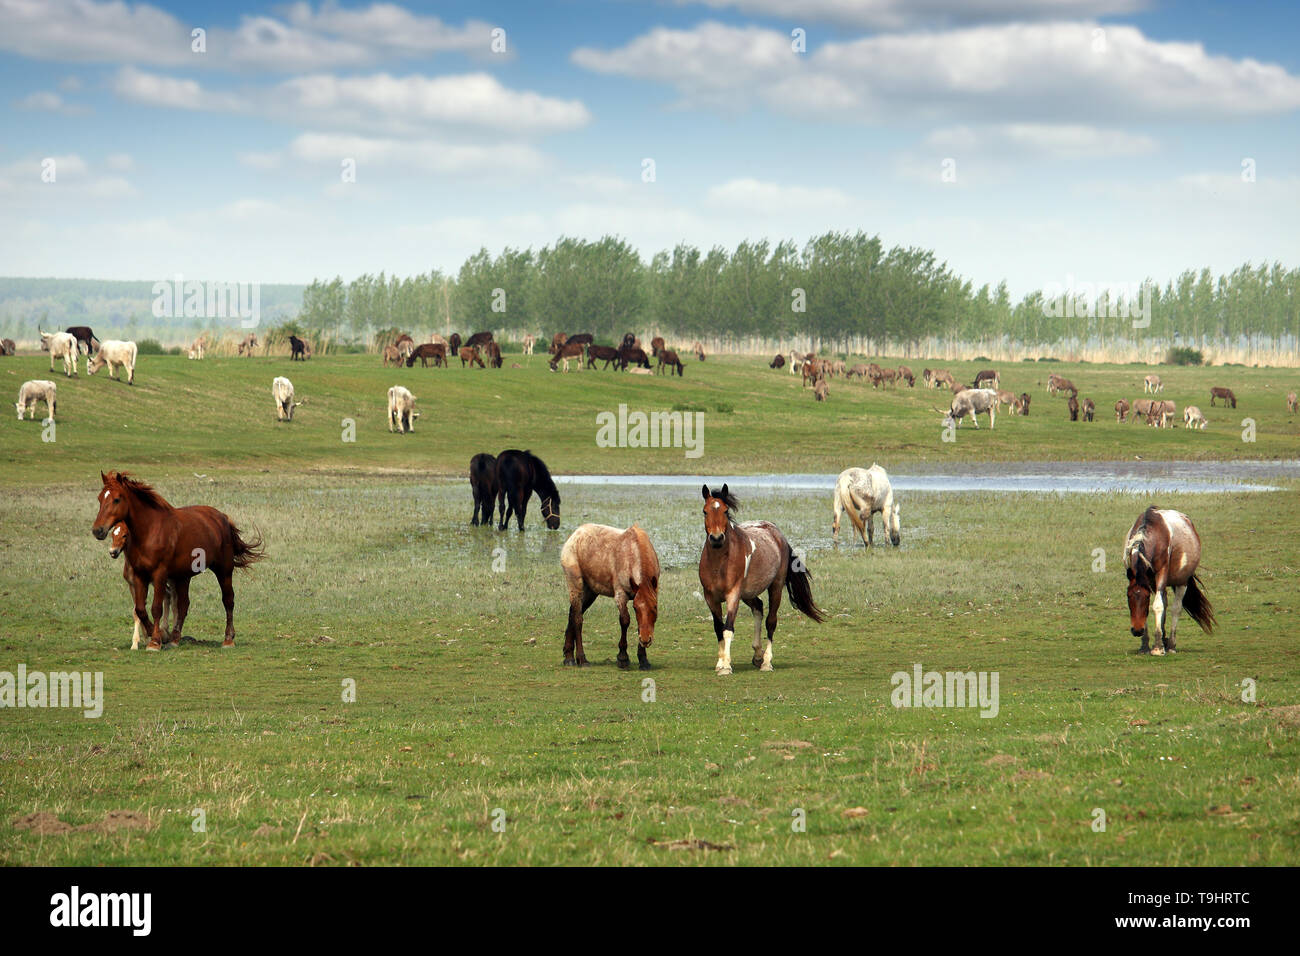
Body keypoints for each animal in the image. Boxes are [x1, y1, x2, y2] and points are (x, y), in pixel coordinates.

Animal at [92, 472, 264, 650]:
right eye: (100, 498)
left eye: (116, 499)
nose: (97, 530)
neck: (150, 530)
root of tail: (222, 517)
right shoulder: (140, 576)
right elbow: (140, 609)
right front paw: (158, 635)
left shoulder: (159, 574)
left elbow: (156, 608)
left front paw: (155, 641)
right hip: (183, 576)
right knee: (183, 605)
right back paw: (174, 639)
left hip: (224, 570)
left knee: (228, 600)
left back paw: (228, 639)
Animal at [560, 524, 659, 669]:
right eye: (635, 608)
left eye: (655, 607)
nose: (646, 640)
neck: (633, 552)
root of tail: (575, 534)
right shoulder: (620, 595)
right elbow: (625, 621)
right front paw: (623, 658)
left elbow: (639, 624)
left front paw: (643, 660)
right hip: (575, 586)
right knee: (578, 619)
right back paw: (582, 659)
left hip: (590, 592)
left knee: (572, 614)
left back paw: (568, 656)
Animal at [698, 484, 825, 674]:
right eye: (705, 511)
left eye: (725, 510)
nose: (716, 538)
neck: (718, 563)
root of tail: (777, 534)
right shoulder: (710, 597)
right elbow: (718, 628)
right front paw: (720, 663)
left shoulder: (733, 595)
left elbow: (728, 629)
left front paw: (726, 666)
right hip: (748, 593)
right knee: (758, 607)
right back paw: (758, 655)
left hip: (775, 587)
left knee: (771, 622)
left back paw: (766, 662)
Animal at [1124, 506, 1215, 655]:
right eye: (1128, 596)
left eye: (1147, 596)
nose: (1137, 630)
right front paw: (1145, 645)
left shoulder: (1161, 573)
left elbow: (1157, 606)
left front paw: (1157, 648)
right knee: (1165, 602)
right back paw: (1164, 639)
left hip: (1181, 582)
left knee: (1175, 608)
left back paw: (1171, 644)